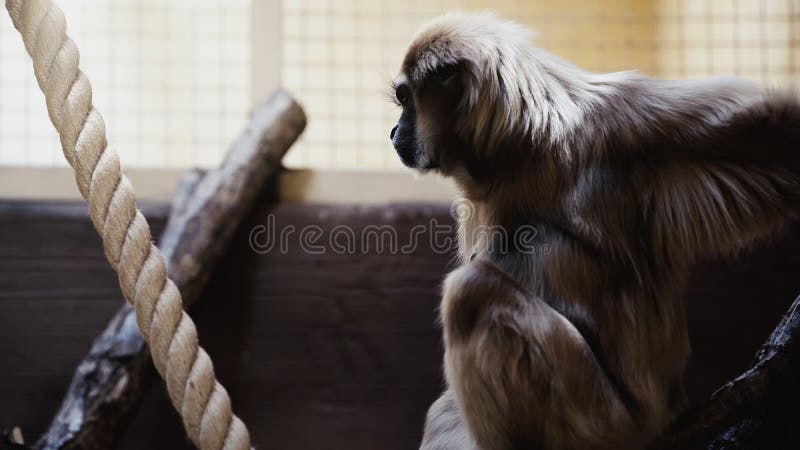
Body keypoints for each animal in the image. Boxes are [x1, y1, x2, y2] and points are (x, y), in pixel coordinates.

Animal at [388, 12, 800, 450]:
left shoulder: (623, 115)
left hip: (603, 419)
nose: (394, 131)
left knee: (475, 291)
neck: (524, 147)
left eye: (406, 100)